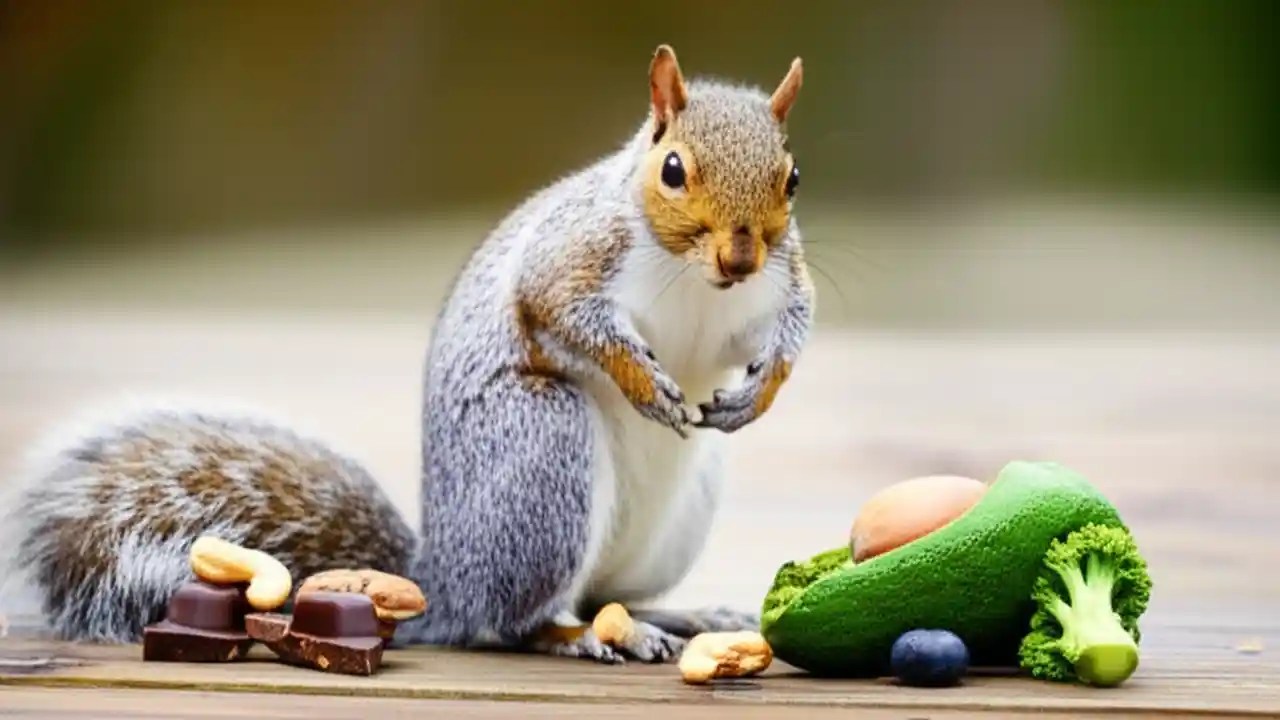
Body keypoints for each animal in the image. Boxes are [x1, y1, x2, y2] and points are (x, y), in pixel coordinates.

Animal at [0, 45, 814, 664]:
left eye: (793, 178)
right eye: (672, 170)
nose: (741, 257)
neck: (696, 278)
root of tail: (442, 582)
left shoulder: (776, 288)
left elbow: (785, 335)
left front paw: (762, 389)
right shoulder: (571, 259)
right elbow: (561, 311)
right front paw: (641, 381)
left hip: (672, 517)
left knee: (602, 594)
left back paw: (677, 618)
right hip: (542, 456)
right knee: (514, 620)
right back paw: (575, 635)